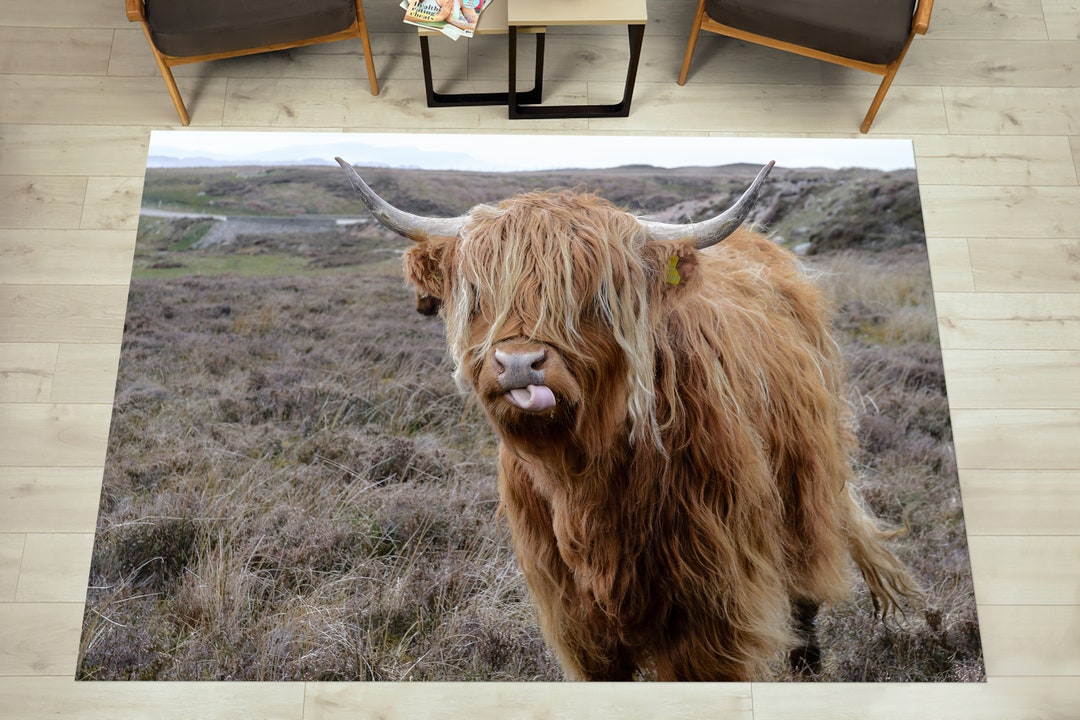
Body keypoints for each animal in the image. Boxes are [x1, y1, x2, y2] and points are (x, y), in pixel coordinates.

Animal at [336, 158, 924, 681]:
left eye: (593, 296)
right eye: (479, 294)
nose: (520, 364)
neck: (584, 478)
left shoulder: (711, 607)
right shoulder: (574, 614)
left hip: (805, 489)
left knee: (804, 599)